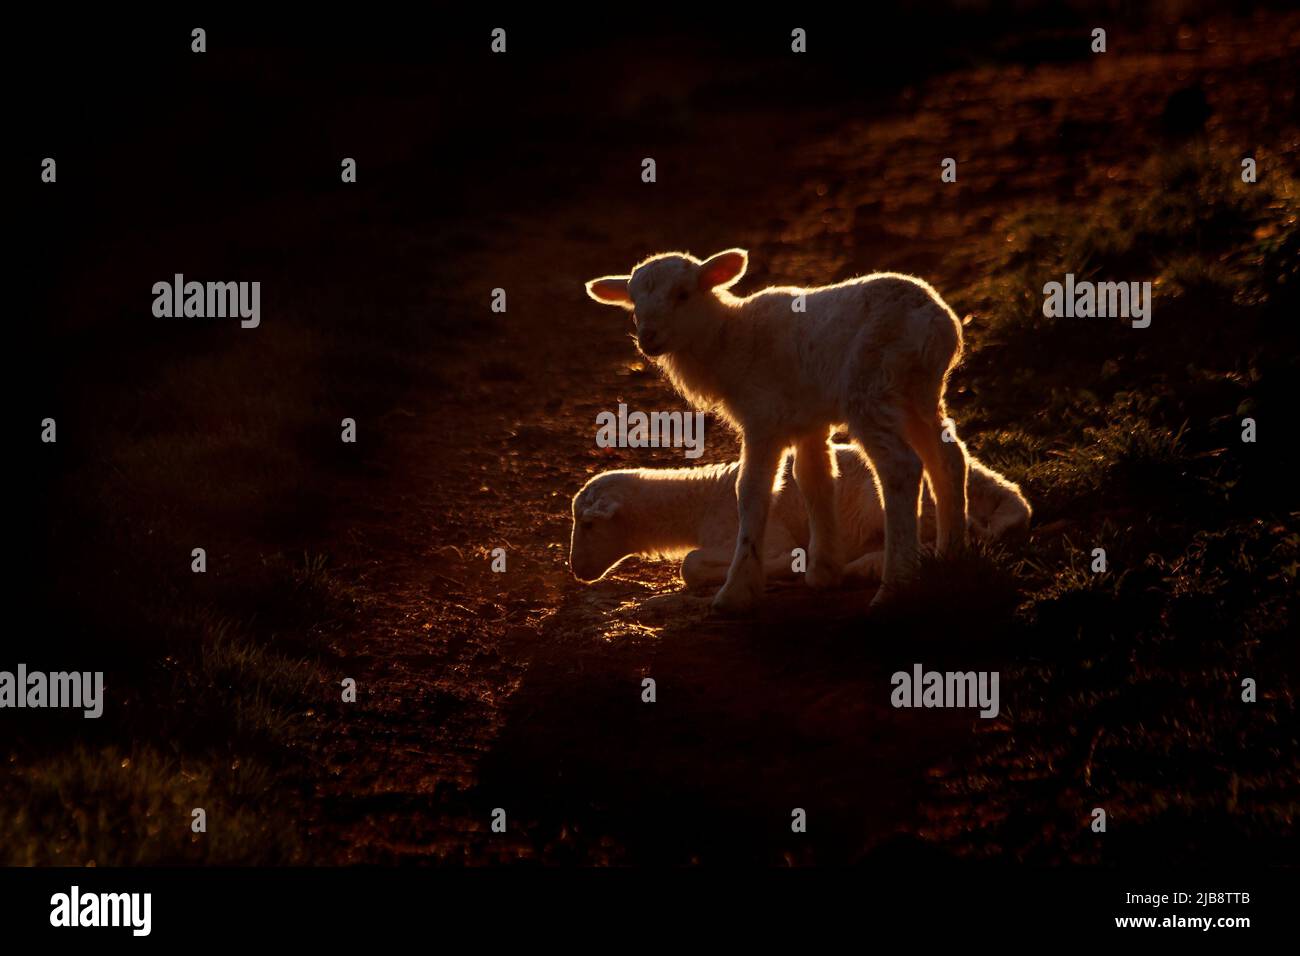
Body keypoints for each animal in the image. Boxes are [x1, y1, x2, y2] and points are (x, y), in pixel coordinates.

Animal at [570, 444, 1031, 588]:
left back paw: (863, 567)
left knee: (948, 542)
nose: (575, 570)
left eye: (589, 524)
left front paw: (781, 569)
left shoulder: (769, 536)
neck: (701, 502)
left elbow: (691, 565)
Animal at [584, 249, 969, 614]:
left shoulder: (763, 419)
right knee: (949, 457)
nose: (648, 339)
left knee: (901, 467)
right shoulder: (808, 420)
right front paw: (823, 571)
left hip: (870, 385)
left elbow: (751, 492)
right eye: (634, 302)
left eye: (683, 294)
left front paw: (737, 592)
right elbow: (814, 479)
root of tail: (935, 323)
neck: (729, 339)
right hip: (919, 392)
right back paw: (951, 555)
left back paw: (894, 588)